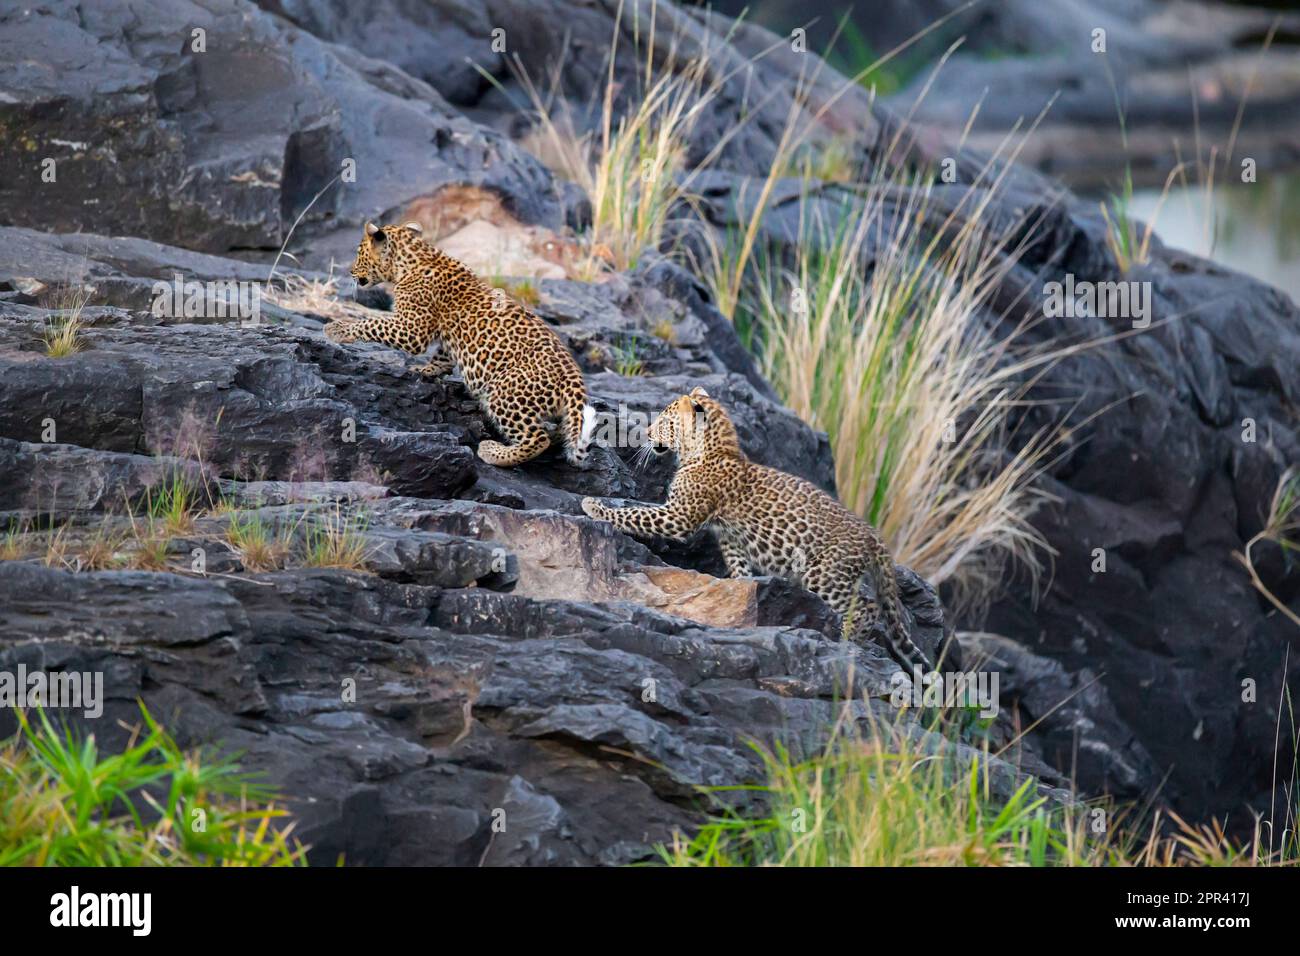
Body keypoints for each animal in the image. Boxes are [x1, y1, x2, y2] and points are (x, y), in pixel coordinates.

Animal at [327, 221, 595, 468]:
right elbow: (442, 354)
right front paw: (426, 370)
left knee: (537, 439)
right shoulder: (444, 337)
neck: (414, 258)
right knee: (560, 432)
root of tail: (573, 376)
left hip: (504, 392)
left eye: (359, 252)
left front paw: (338, 329)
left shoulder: (411, 329)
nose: (350, 272)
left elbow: (373, 323)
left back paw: (494, 452)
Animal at [581, 387, 935, 674]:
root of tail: (874, 536)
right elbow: (739, 571)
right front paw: (741, 603)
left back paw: (847, 641)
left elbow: (636, 513)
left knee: (867, 607)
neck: (711, 450)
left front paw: (593, 506)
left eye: (666, 420)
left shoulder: (679, 516)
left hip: (825, 575)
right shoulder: (730, 539)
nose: (647, 432)